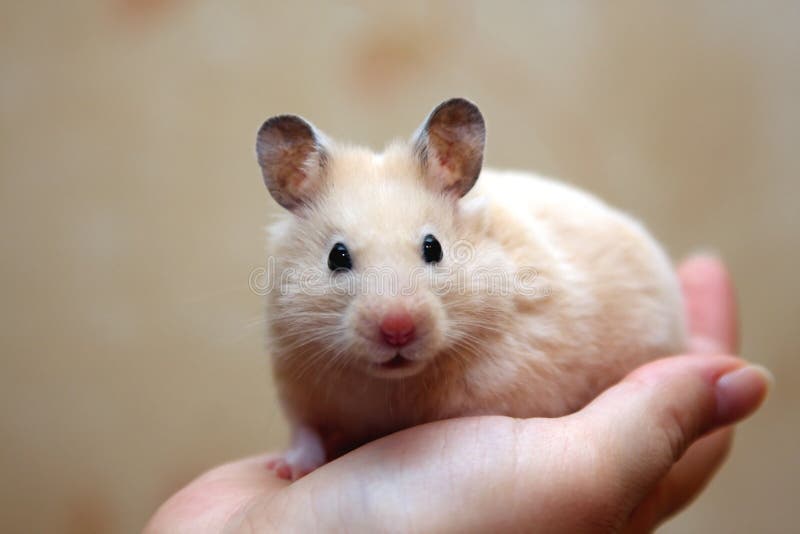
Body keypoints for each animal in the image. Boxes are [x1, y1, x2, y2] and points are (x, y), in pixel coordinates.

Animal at [255, 98, 687, 480]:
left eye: (434, 247)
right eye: (337, 256)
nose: (397, 329)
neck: (390, 384)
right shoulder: (295, 376)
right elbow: (304, 430)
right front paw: (287, 469)